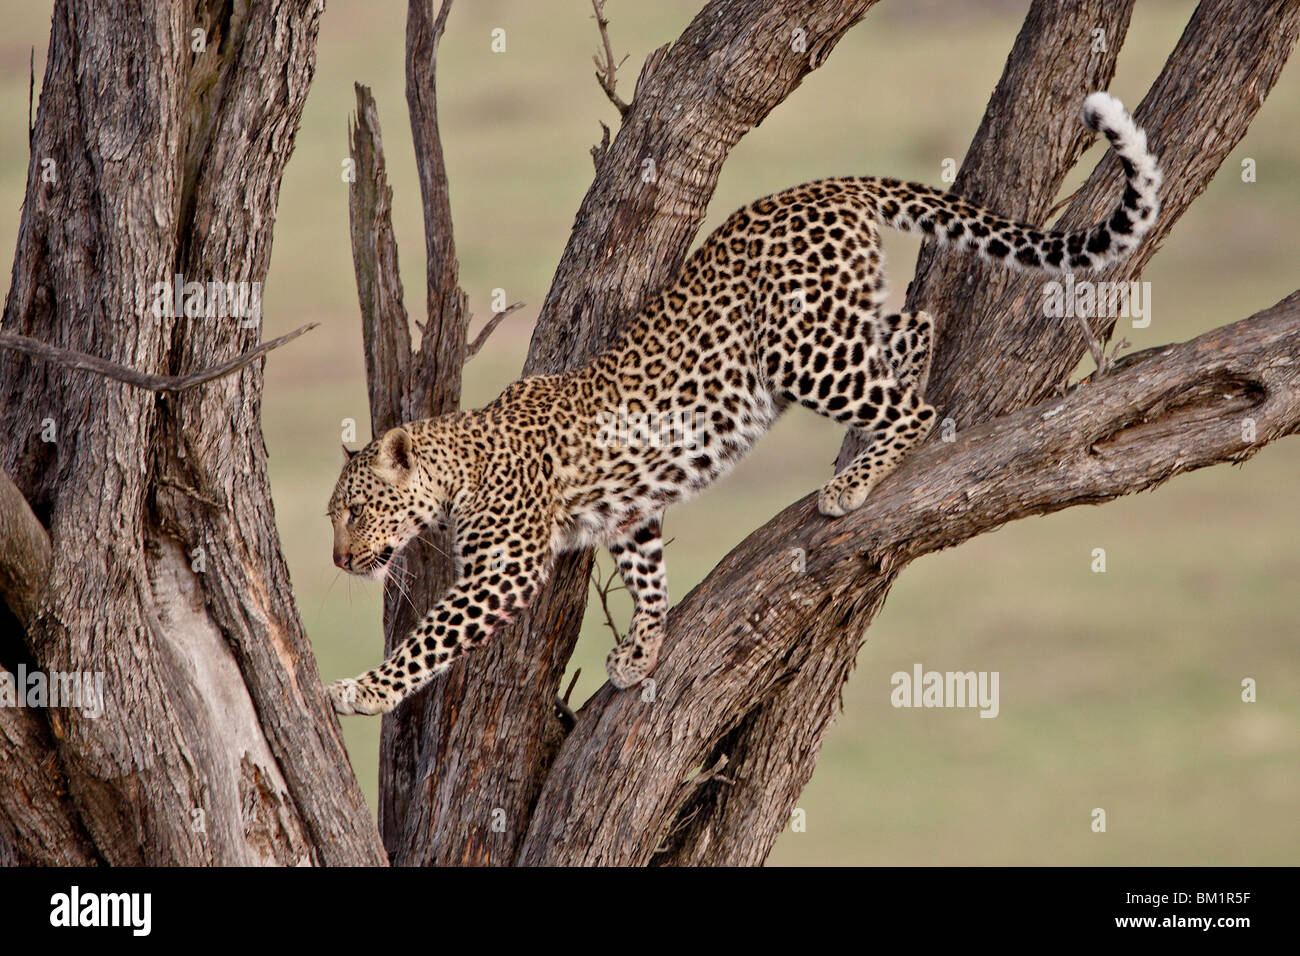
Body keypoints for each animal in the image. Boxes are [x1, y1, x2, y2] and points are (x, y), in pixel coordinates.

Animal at [326, 92, 1160, 715]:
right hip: (835, 323)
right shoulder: (630, 515)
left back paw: (854, 480)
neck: (459, 467)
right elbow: (650, 579)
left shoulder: (501, 571)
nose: (337, 560)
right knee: (917, 323)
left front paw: (364, 691)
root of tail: (826, 186)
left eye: (356, 512)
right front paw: (643, 651)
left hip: (800, 350)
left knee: (909, 402)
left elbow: (431, 638)